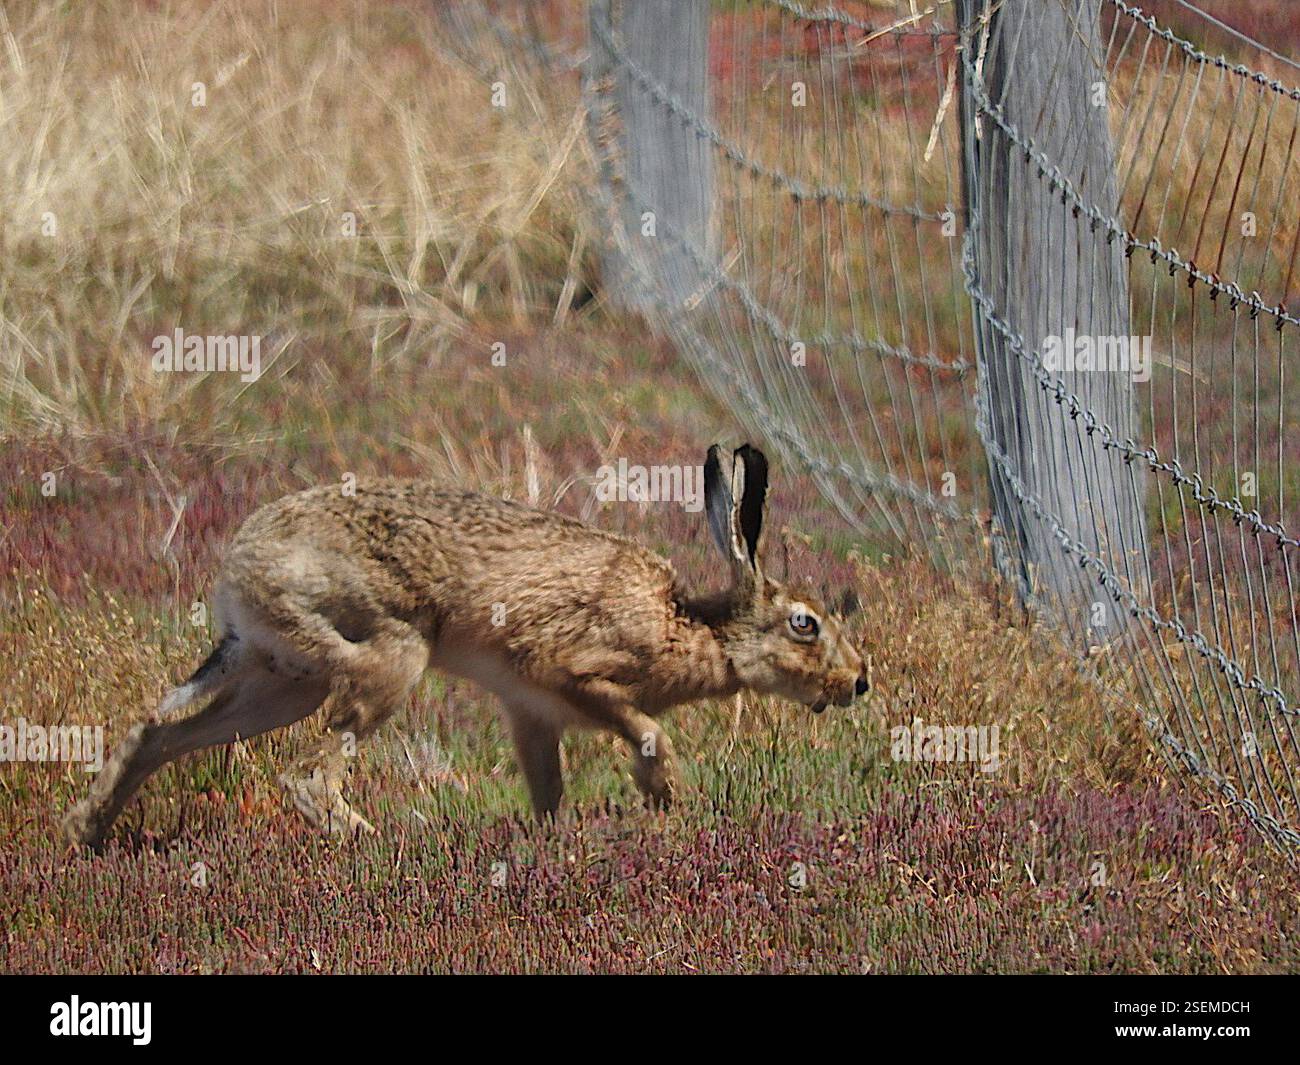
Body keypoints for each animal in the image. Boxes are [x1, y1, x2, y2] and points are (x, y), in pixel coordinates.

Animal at [63, 443, 871, 848]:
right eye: (805, 623)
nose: (859, 682)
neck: (692, 625)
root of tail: (239, 567)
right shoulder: (576, 676)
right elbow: (647, 732)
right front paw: (665, 800)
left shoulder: (531, 713)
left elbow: (548, 788)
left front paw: (556, 845)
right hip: (386, 656)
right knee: (309, 776)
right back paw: (382, 839)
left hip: (279, 681)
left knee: (159, 733)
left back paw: (87, 835)